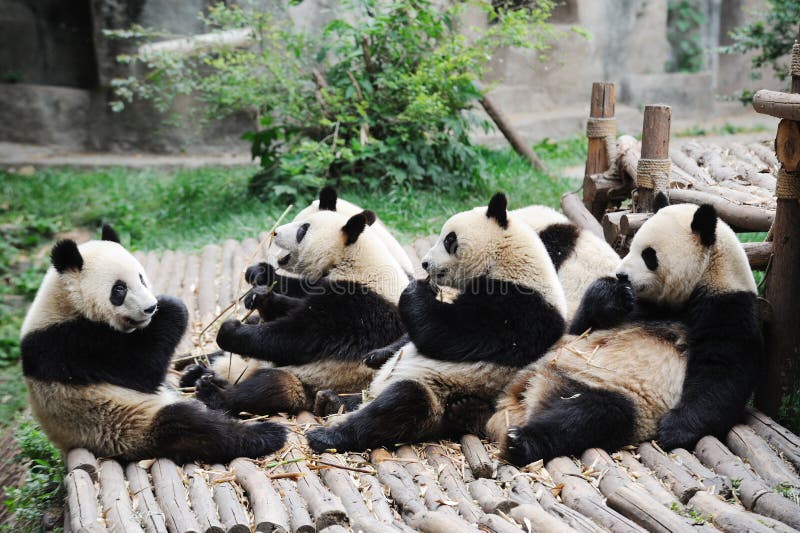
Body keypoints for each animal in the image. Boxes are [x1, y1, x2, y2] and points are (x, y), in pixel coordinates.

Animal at [20, 226, 286, 463]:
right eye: (119, 289)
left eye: (141, 278)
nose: (150, 308)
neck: (65, 304)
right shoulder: (71, 345)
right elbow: (141, 370)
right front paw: (171, 306)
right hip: (124, 425)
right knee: (190, 427)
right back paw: (266, 433)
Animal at [181, 209, 409, 416]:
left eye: (302, 229)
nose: (274, 232)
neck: (355, 259)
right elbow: (296, 299)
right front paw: (261, 288)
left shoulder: (362, 306)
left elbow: (301, 335)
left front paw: (230, 330)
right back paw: (194, 371)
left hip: (309, 379)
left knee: (268, 388)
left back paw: (211, 391)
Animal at [304, 193, 567, 453]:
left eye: (450, 239)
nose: (424, 263)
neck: (510, 262)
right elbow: (408, 339)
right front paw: (375, 355)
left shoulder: (519, 309)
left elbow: (446, 332)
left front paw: (416, 289)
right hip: (377, 388)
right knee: (363, 396)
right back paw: (331, 400)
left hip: (436, 394)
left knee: (399, 405)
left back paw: (326, 435)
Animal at [487, 199, 762, 465]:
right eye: (631, 247)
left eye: (649, 255)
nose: (621, 275)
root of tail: (529, 396)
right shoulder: (640, 305)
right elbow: (582, 326)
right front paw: (609, 294)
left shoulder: (730, 308)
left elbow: (722, 373)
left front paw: (674, 428)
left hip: (619, 397)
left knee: (587, 417)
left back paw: (521, 442)